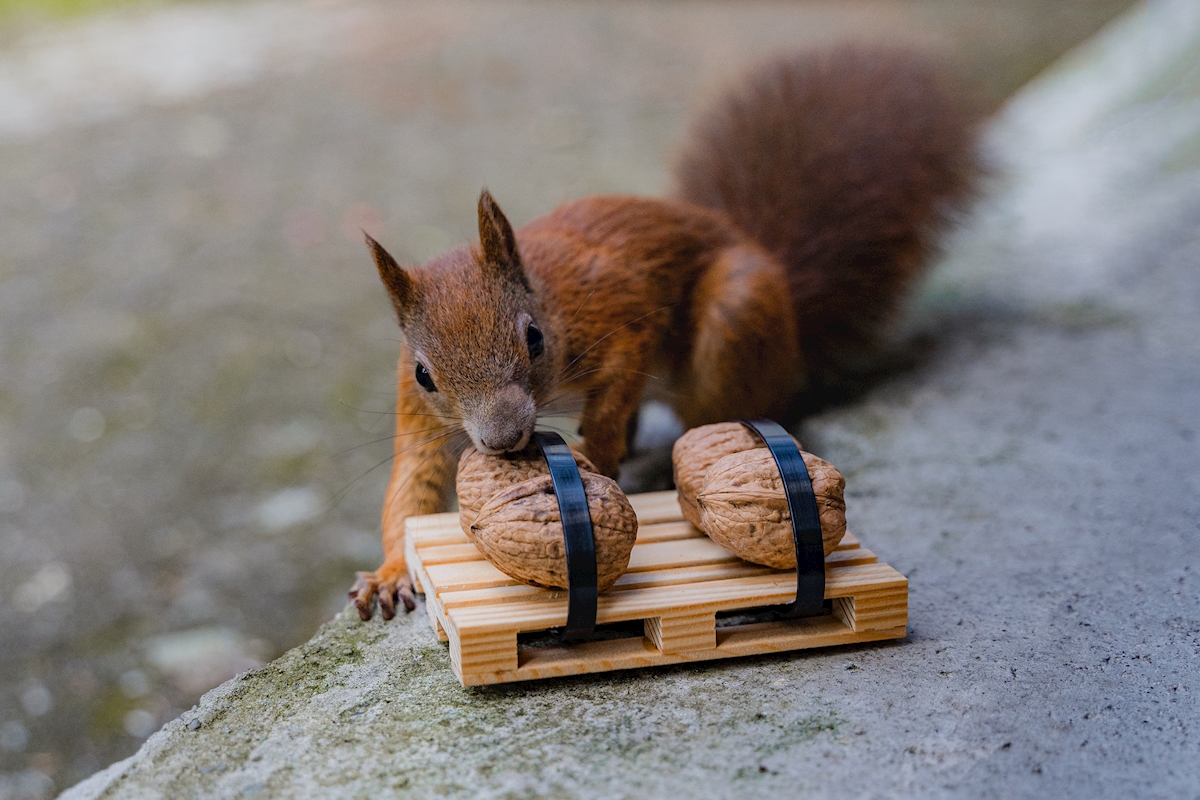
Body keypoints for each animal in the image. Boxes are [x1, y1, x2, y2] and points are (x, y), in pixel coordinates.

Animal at [349, 46, 981, 619]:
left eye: (534, 339)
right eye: (424, 374)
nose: (502, 441)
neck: (549, 299)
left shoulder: (621, 314)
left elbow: (613, 394)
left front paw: (597, 451)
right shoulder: (419, 415)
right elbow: (410, 488)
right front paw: (389, 573)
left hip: (734, 319)